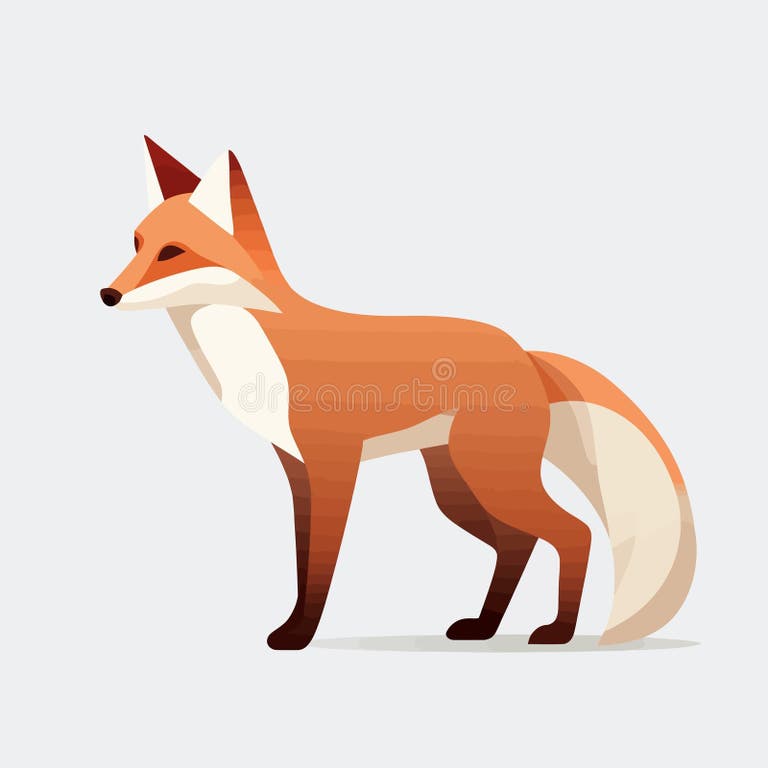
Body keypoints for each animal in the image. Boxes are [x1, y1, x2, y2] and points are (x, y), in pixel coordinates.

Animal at [101, 137, 696, 650]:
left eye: (173, 252)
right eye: (135, 244)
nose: (108, 294)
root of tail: (521, 349)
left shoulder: (334, 467)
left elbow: (321, 567)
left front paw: (299, 636)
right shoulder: (296, 472)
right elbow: (300, 560)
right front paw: (293, 627)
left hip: (491, 478)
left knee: (574, 533)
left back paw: (558, 632)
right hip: (457, 488)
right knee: (516, 544)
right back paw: (483, 626)